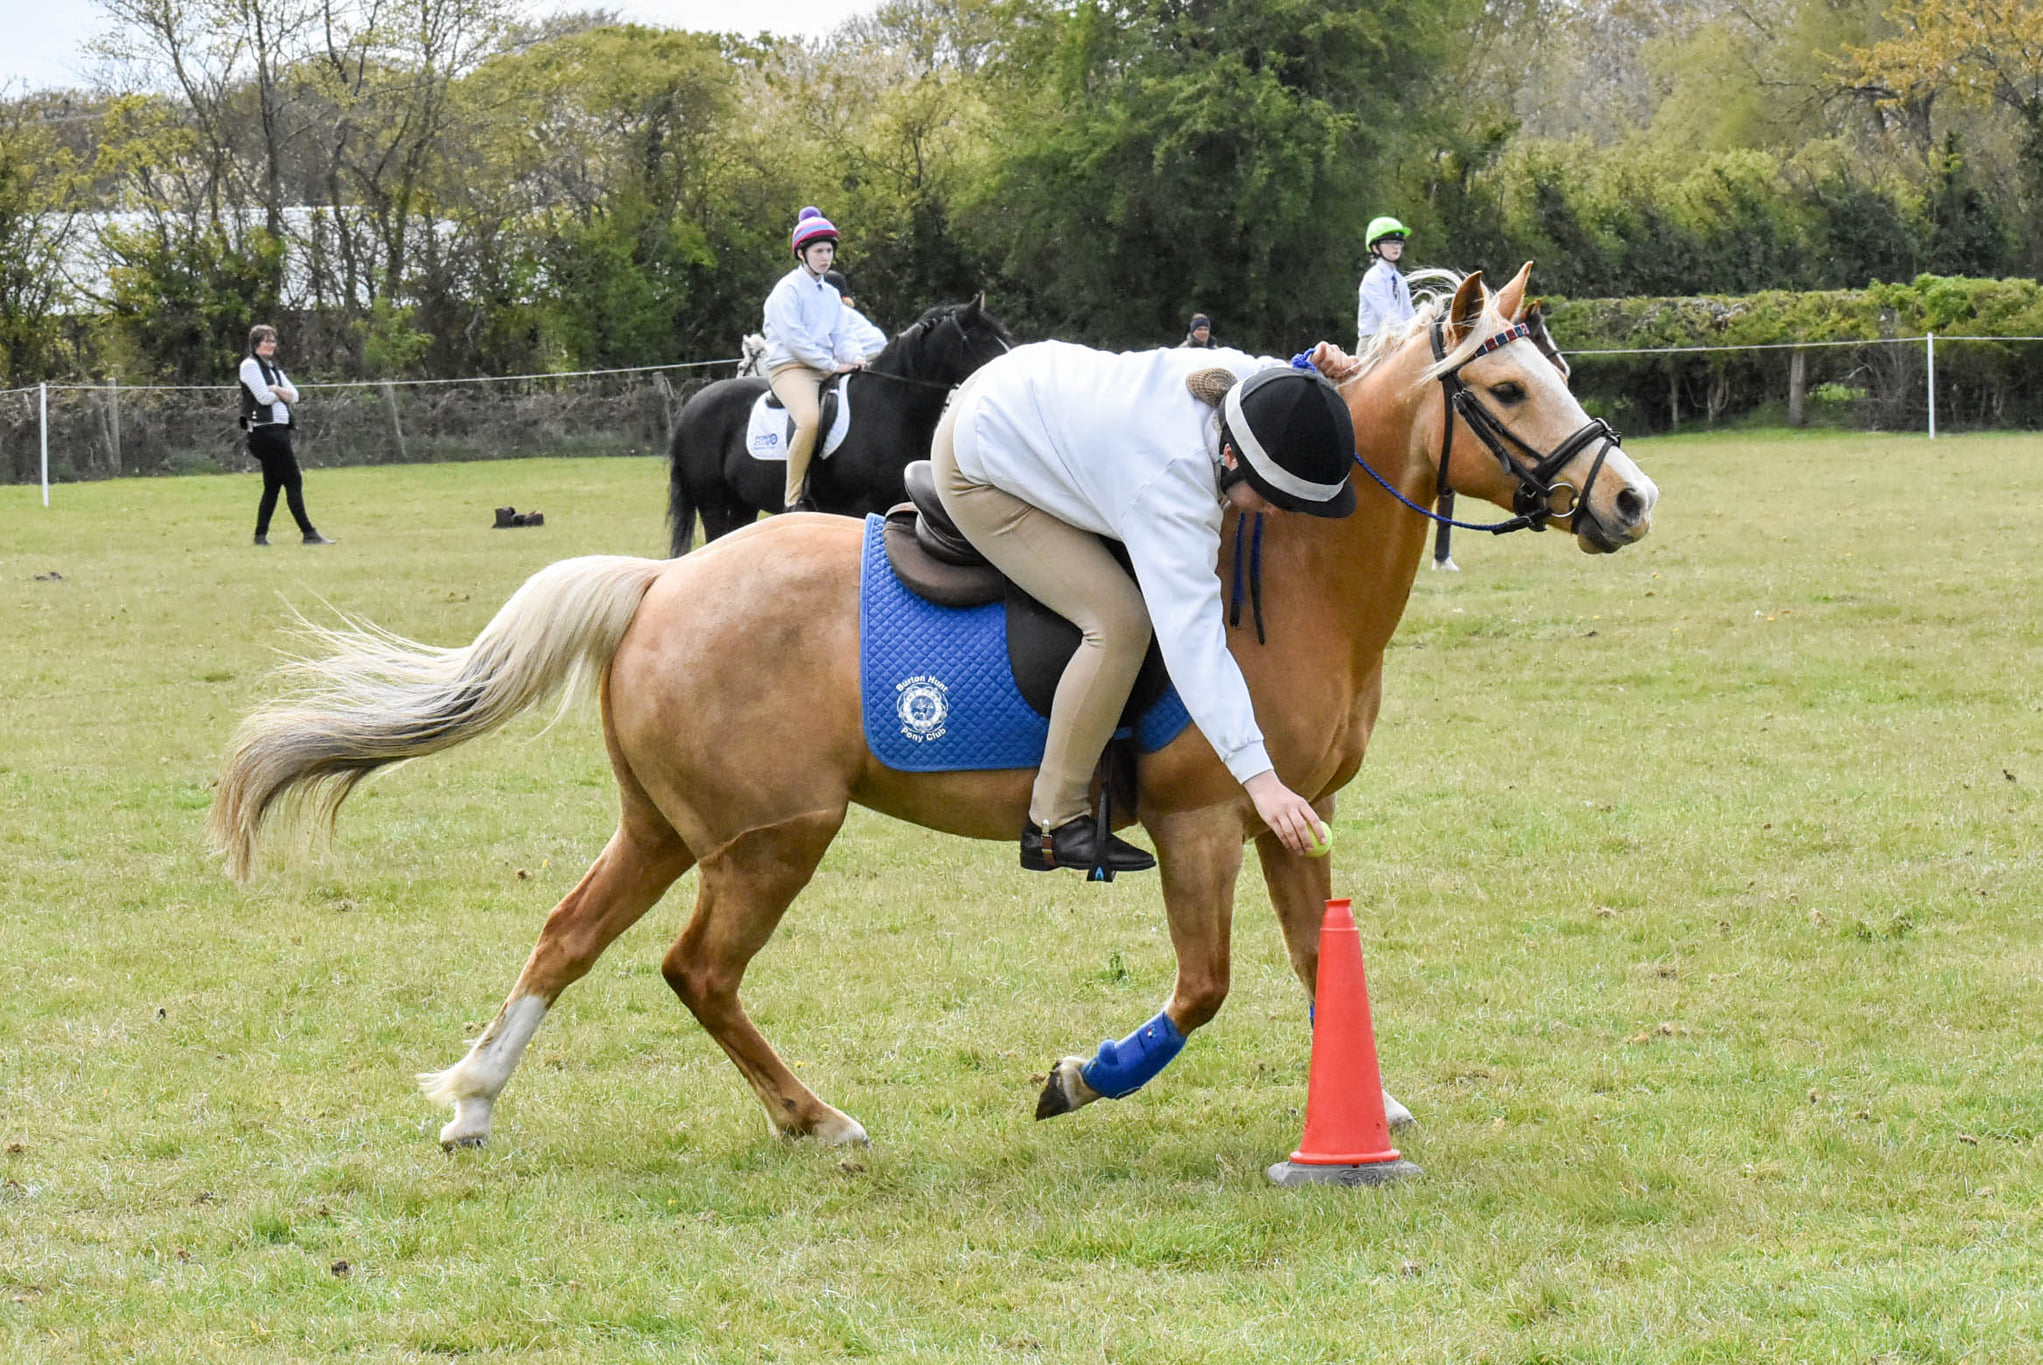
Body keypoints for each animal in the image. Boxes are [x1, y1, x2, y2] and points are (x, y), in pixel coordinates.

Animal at [666, 297, 1014, 554]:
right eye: (982, 339)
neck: (888, 406)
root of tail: (691, 407)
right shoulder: (859, 507)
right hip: (712, 500)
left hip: (742, 504)